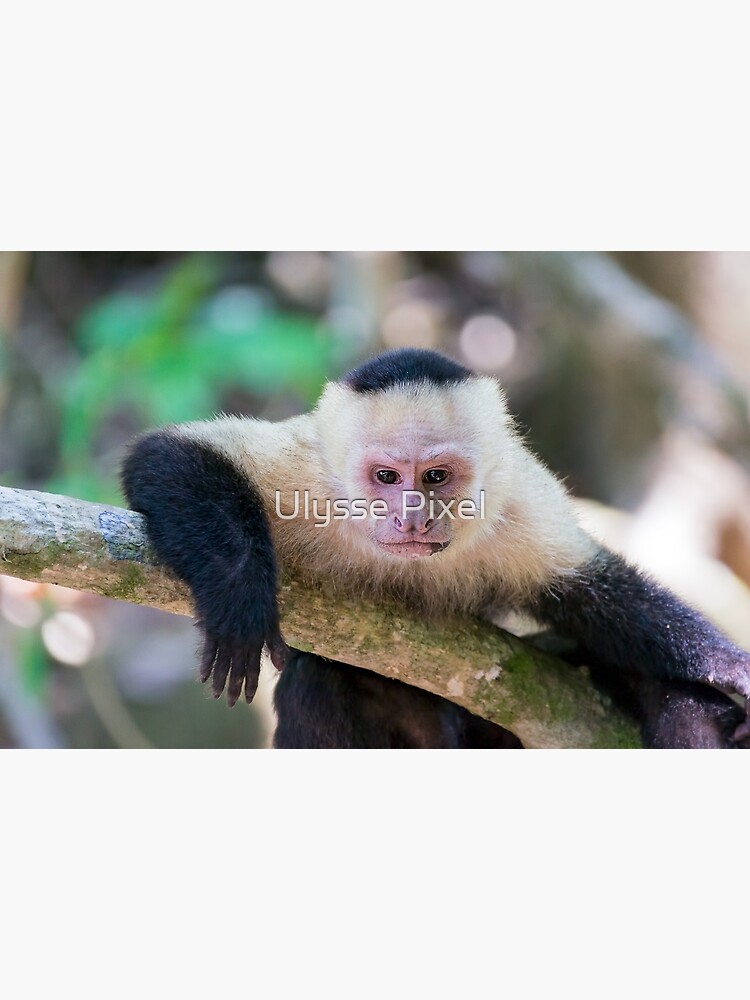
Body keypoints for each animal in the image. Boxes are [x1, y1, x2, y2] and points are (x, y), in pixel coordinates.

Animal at [121, 347, 750, 748]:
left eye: (436, 477)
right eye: (387, 477)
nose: (412, 518)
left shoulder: (517, 502)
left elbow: (594, 596)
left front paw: (729, 668)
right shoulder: (311, 475)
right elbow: (166, 455)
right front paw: (239, 598)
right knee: (319, 684)